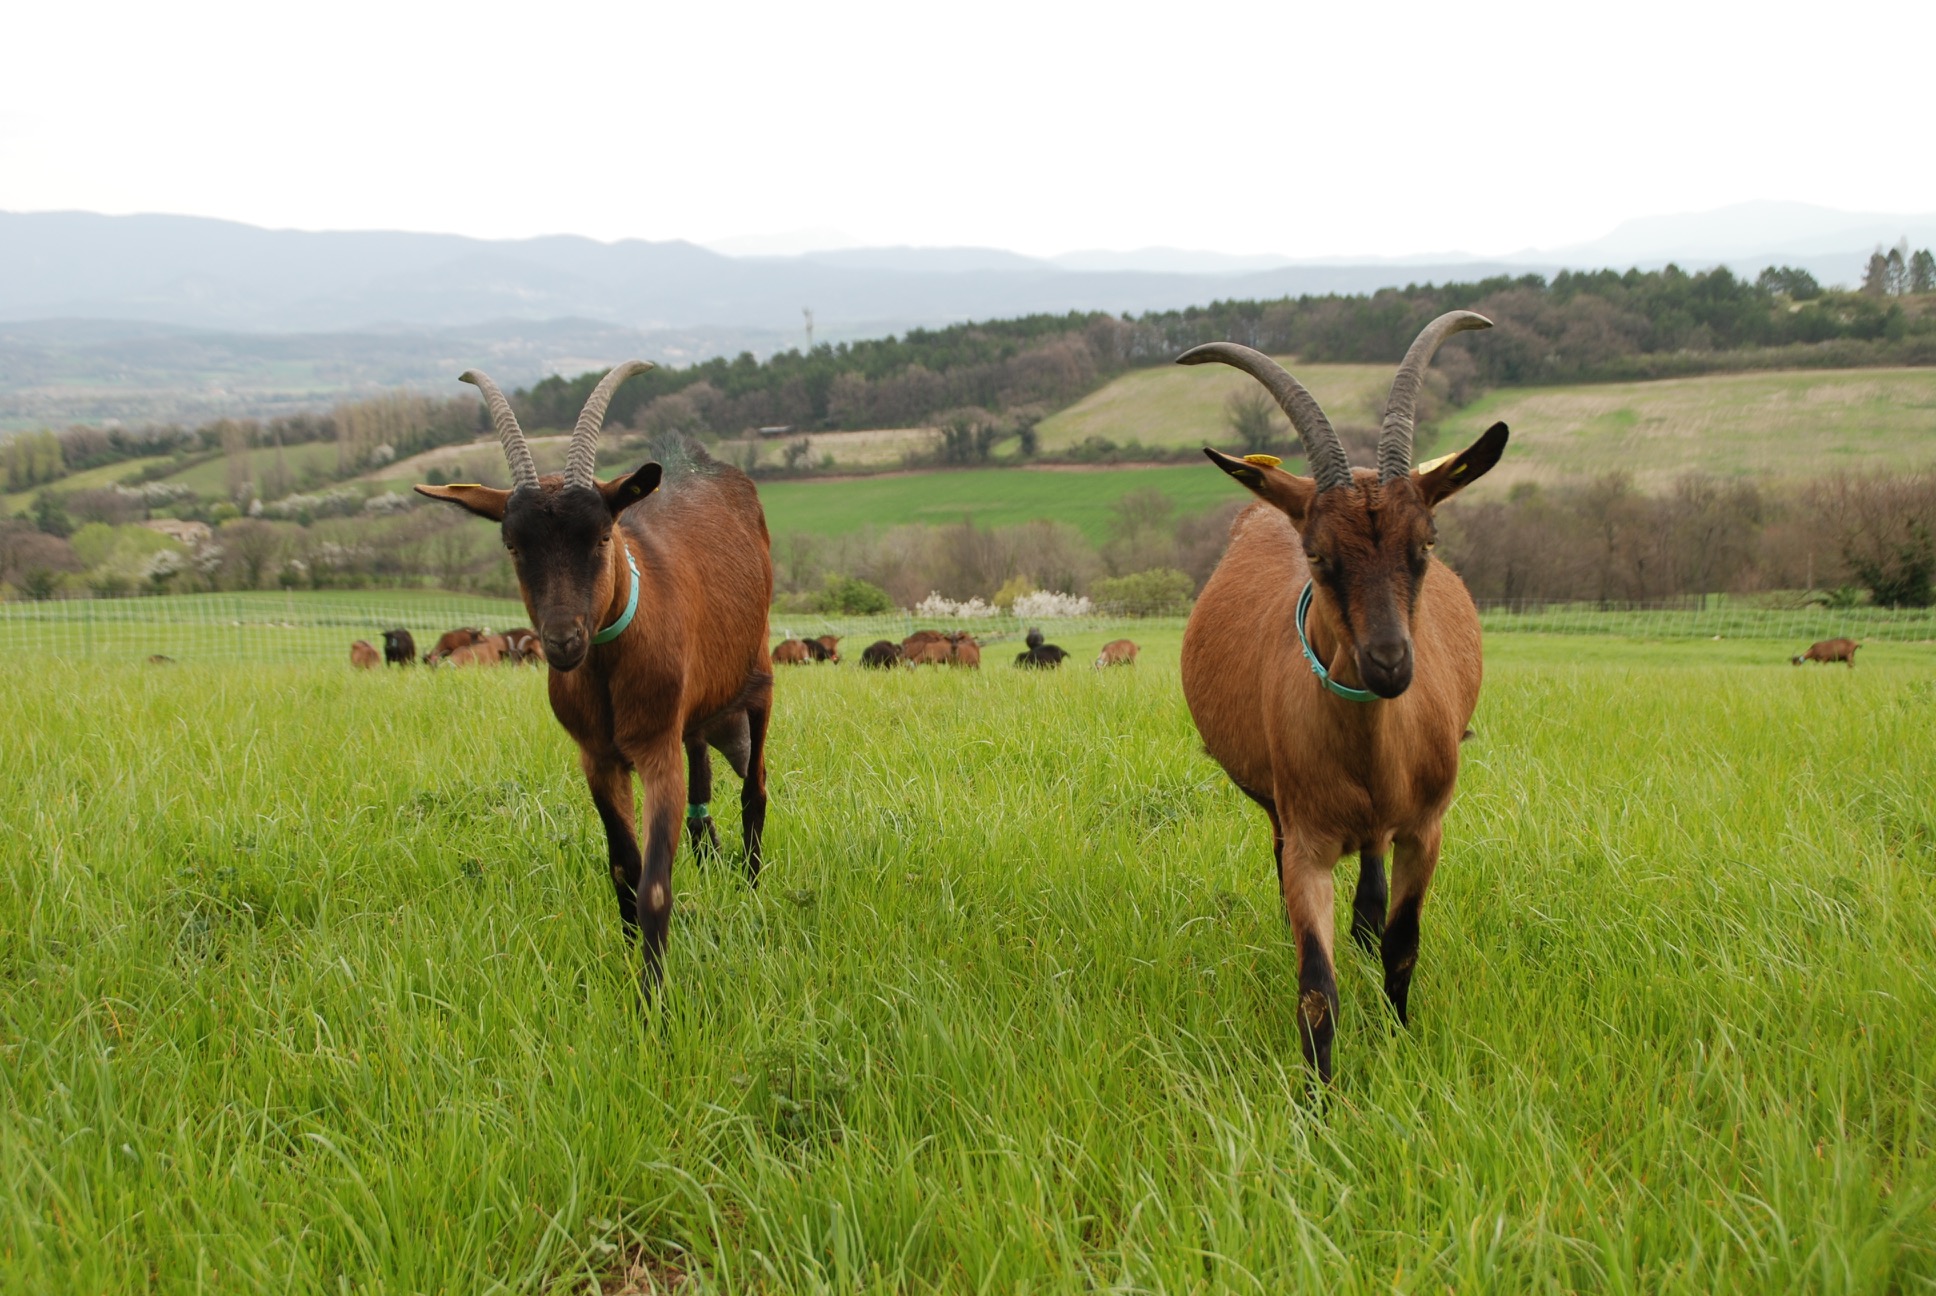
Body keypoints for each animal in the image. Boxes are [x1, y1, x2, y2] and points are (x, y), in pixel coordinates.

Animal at [416, 361, 774, 992]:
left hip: (759, 683)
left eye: (604, 536)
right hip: (696, 716)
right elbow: (623, 869)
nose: (563, 640)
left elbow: (654, 883)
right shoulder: (599, 757)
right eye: (513, 545)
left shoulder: (656, 751)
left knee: (753, 791)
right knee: (704, 784)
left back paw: (751, 887)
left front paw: (652, 1000)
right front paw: (630, 961)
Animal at [1177, 311, 1508, 1083]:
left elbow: (1402, 943)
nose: (1388, 665)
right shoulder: (1308, 840)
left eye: (1426, 544)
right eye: (1319, 555)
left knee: (1375, 878)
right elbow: (1315, 988)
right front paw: (1319, 1096)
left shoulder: (1427, 827)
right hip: (1277, 808)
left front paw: (1398, 1038)